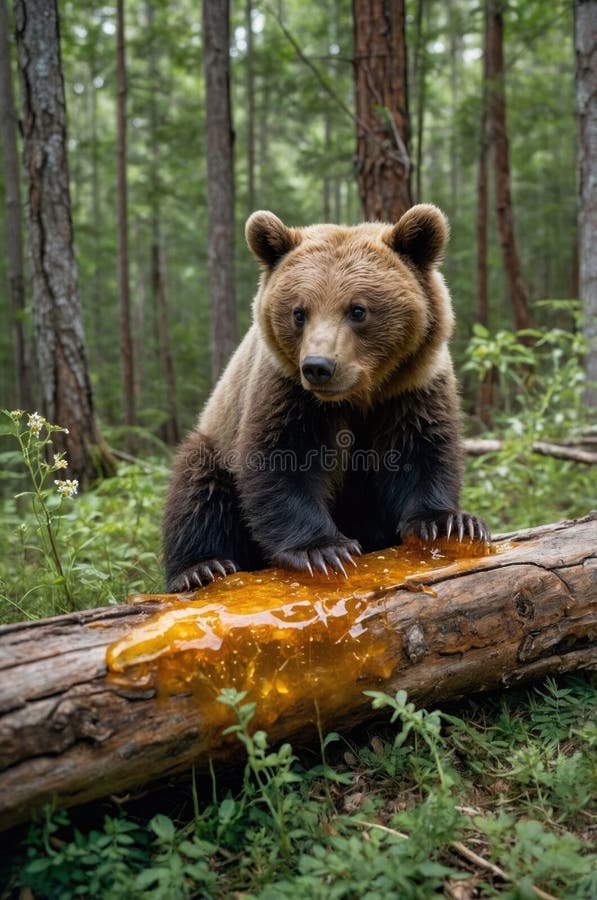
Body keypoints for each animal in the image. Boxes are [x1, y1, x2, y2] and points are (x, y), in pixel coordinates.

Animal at [163, 204, 489, 593]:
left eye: (358, 309)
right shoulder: (288, 391)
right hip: (217, 436)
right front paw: (322, 549)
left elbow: (423, 448)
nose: (318, 366)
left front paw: (449, 523)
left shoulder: (411, 389)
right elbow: (282, 460)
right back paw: (202, 567)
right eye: (299, 312)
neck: (360, 394)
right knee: (199, 487)